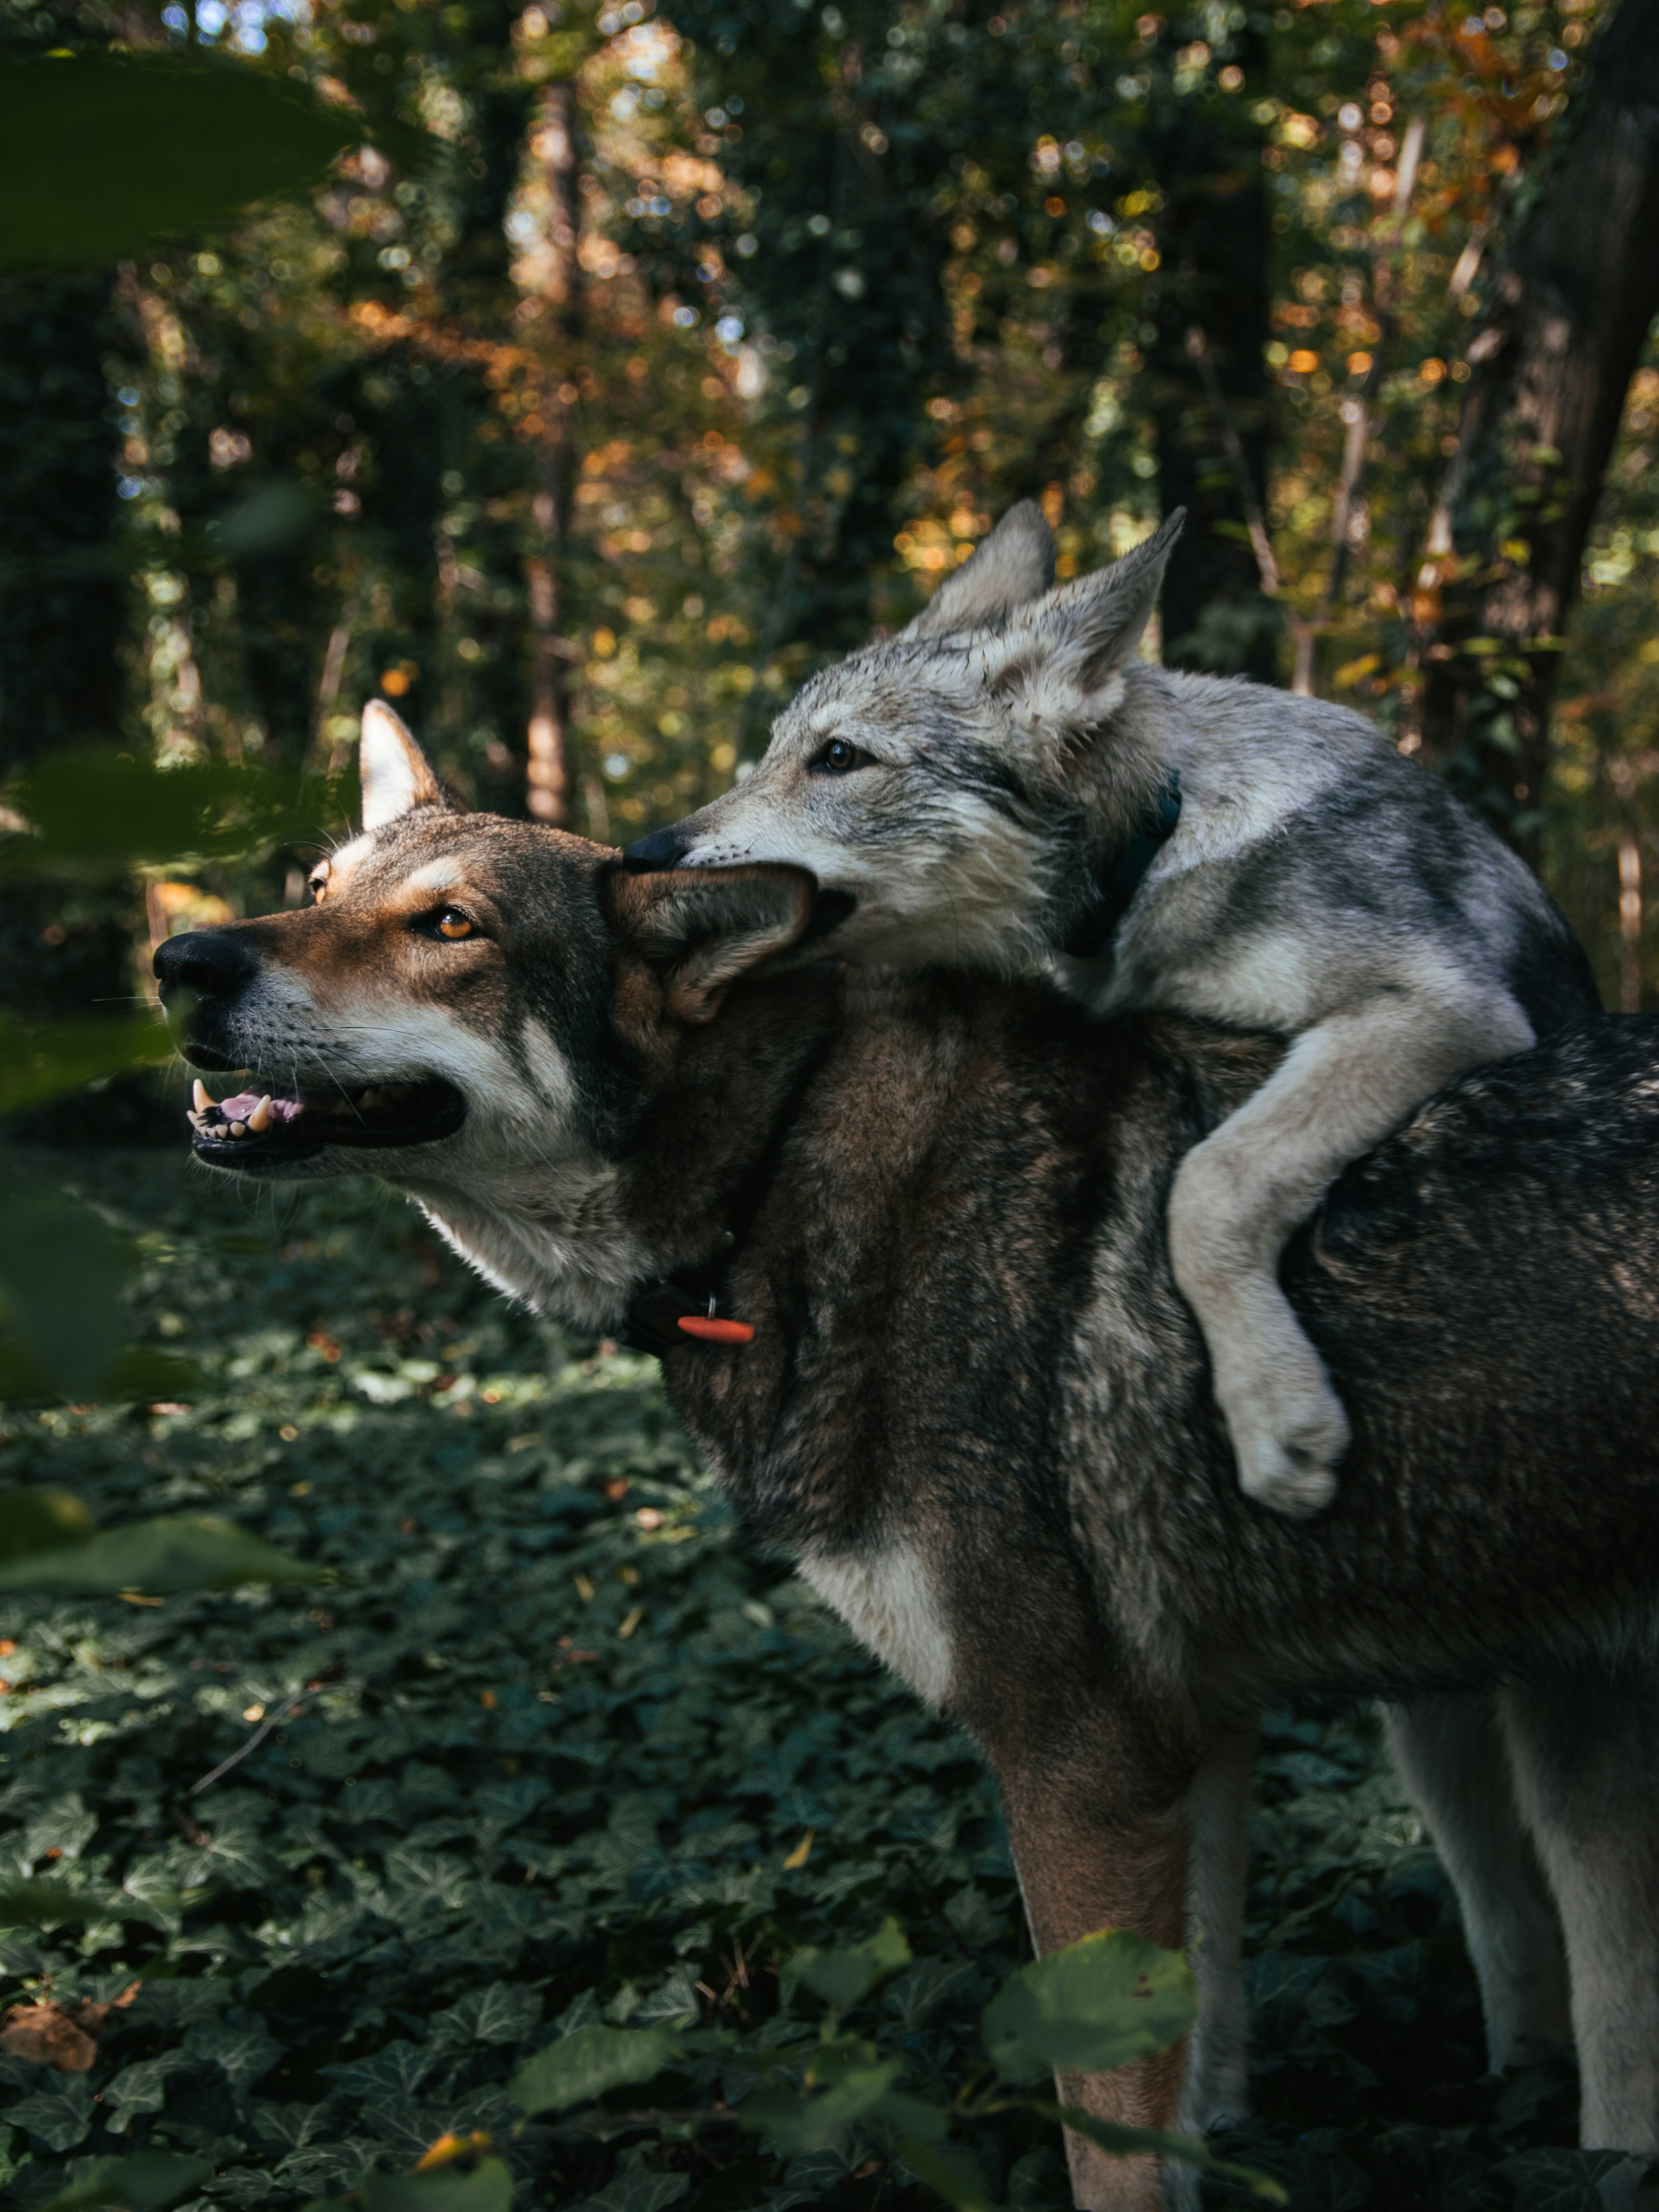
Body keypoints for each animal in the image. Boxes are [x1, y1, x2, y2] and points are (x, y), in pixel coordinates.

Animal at [153, 708, 1659, 2211]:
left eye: (449, 923)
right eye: (317, 883)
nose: (182, 961)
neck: (777, 1164)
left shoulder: (1079, 1757)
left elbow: (1107, 2140)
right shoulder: (1195, 1740)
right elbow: (1195, 2081)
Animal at [621, 506, 1600, 1519]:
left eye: (840, 758)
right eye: (778, 750)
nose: (641, 854)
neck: (1158, 834)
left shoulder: (1446, 1005)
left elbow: (1210, 1181)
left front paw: (1274, 1410)